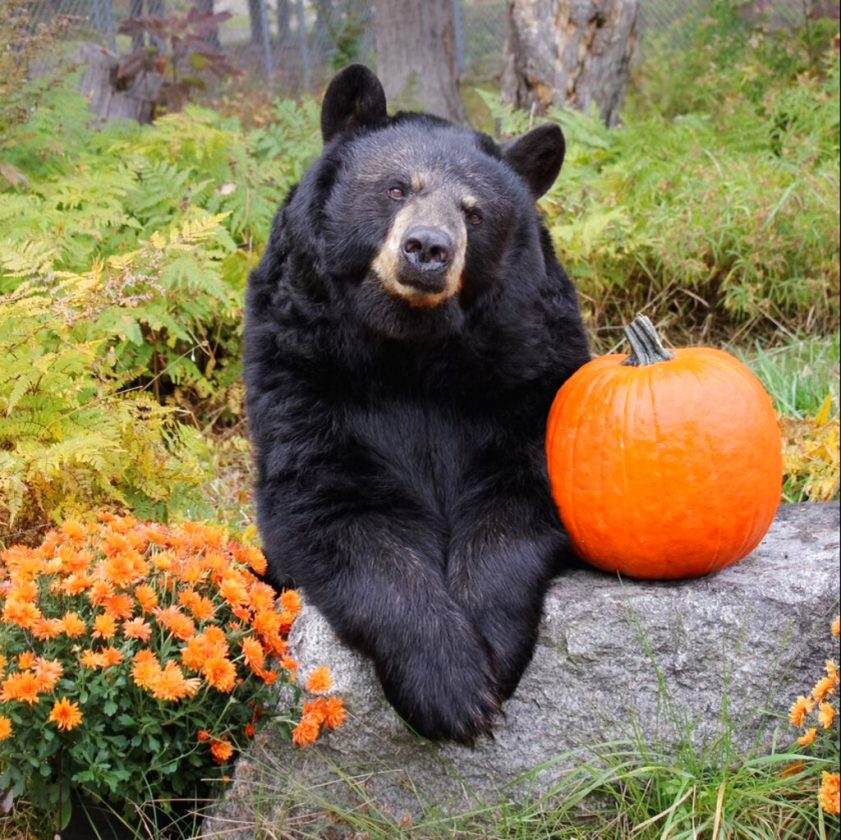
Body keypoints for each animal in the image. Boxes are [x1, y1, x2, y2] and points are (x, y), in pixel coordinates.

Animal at [245, 64, 590, 743]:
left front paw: (492, 655)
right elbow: (337, 509)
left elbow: (519, 492)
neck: (412, 351)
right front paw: (449, 687)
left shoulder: (526, 370)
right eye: (398, 188)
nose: (428, 248)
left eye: (475, 213)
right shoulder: (303, 372)